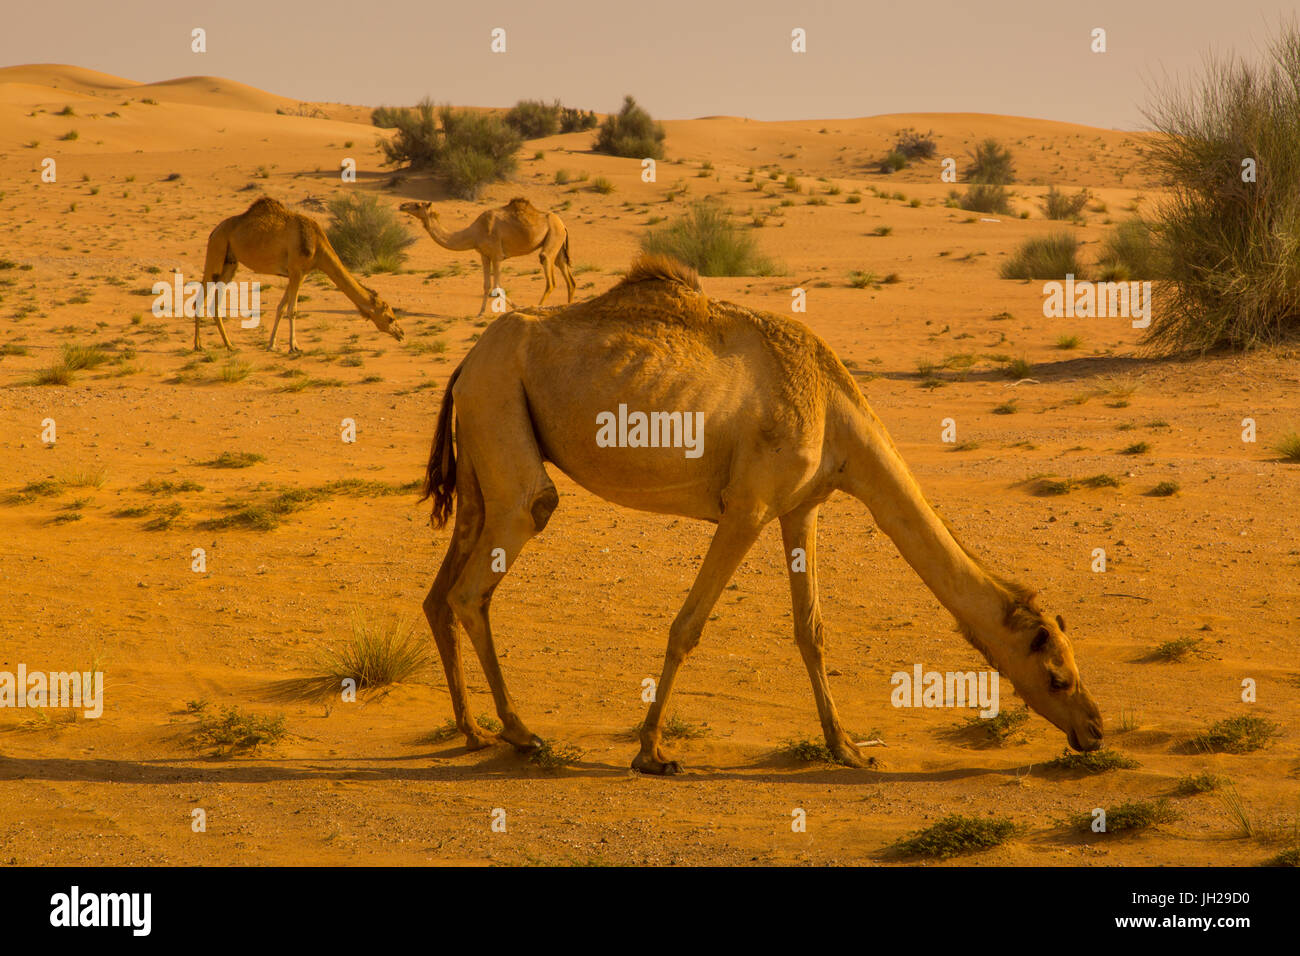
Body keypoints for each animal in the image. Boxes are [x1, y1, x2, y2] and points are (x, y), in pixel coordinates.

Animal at [200, 197, 404, 352]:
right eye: (390, 318)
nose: (401, 334)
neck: (318, 247)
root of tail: (213, 231)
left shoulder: (299, 274)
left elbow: (281, 308)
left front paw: (272, 345)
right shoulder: (296, 270)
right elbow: (293, 310)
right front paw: (294, 347)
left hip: (230, 263)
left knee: (214, 301)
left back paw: (229, 345)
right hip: (217, 250)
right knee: (201, 295)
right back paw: (199, 346)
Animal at [399, 197, 575, 315]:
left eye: (417, 204)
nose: (402, 205)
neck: (474, 233)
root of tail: (564, 225)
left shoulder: (497, 255)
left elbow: (497, 286)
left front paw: (519, 307)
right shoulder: (484, 255)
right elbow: (486, 285)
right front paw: (480, 313)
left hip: (553, 238)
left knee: (550, 278)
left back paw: (536, 307)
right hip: (558, 246)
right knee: (569, 280)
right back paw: (569, 308)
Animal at [418, 255, 1103, 774]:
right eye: (1057, 675)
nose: (1095, 730)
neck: (834, 409)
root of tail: (466, 361)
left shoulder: (801, 509)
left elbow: (811, 630)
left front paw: (846, 747)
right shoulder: (747, 507)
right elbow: (688, 626)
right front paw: (651, 752)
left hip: (482, 448)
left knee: (441, 591)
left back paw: (472, 729)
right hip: (503, 416)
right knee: (489, 567)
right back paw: (521, 732)